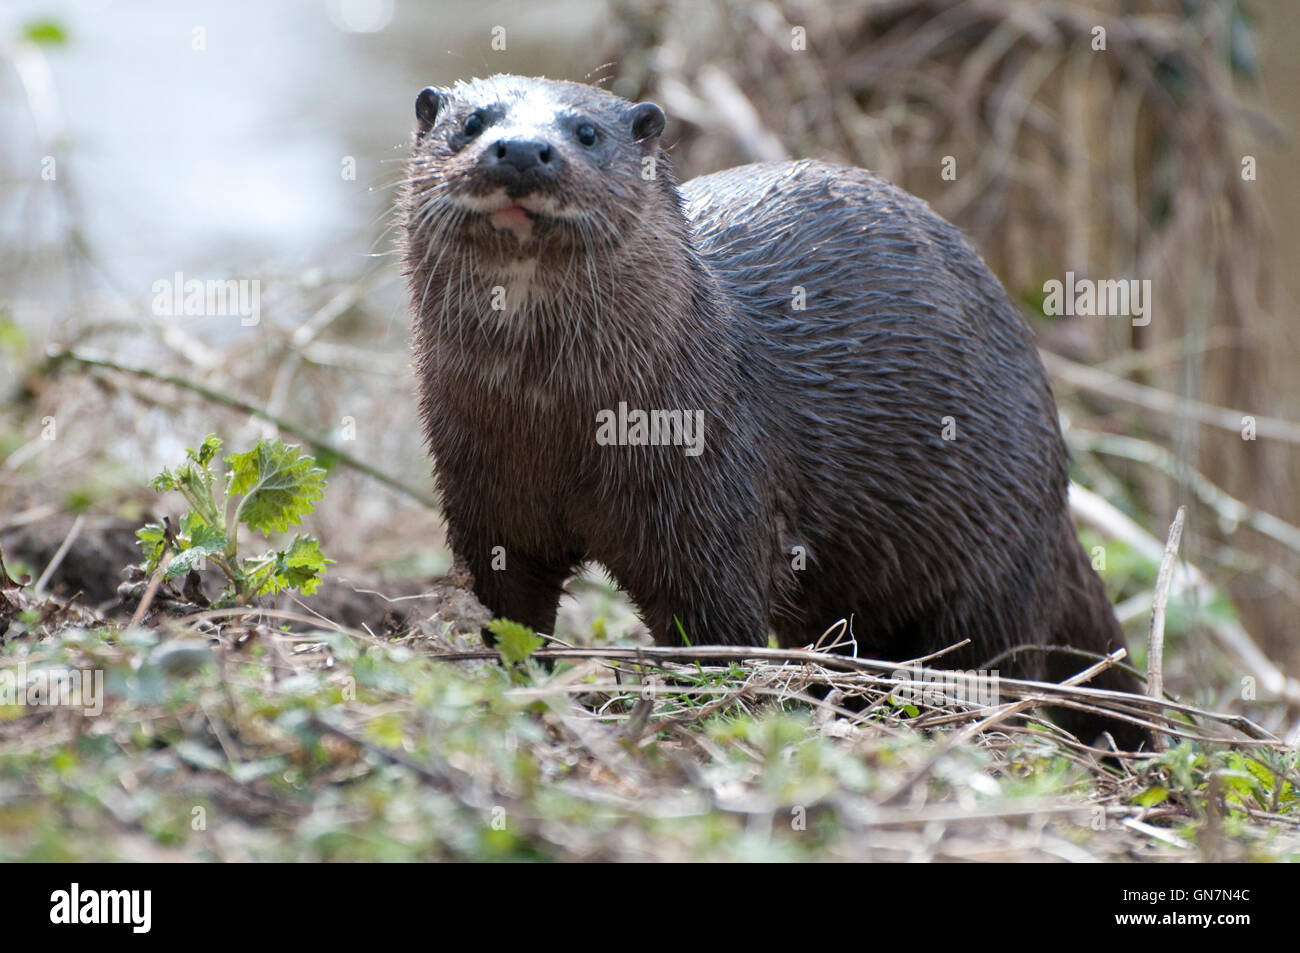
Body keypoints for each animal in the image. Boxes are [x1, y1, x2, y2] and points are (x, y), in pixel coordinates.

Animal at [401, 75, 1145, 750]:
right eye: (472, 123)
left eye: (587, 133)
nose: (523, 151)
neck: (555, 428)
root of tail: (1057, 491)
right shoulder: (482, 495)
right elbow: (509, 607)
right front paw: (517, 684)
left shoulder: (714, 486)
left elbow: (716, 626)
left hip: (994, 552)